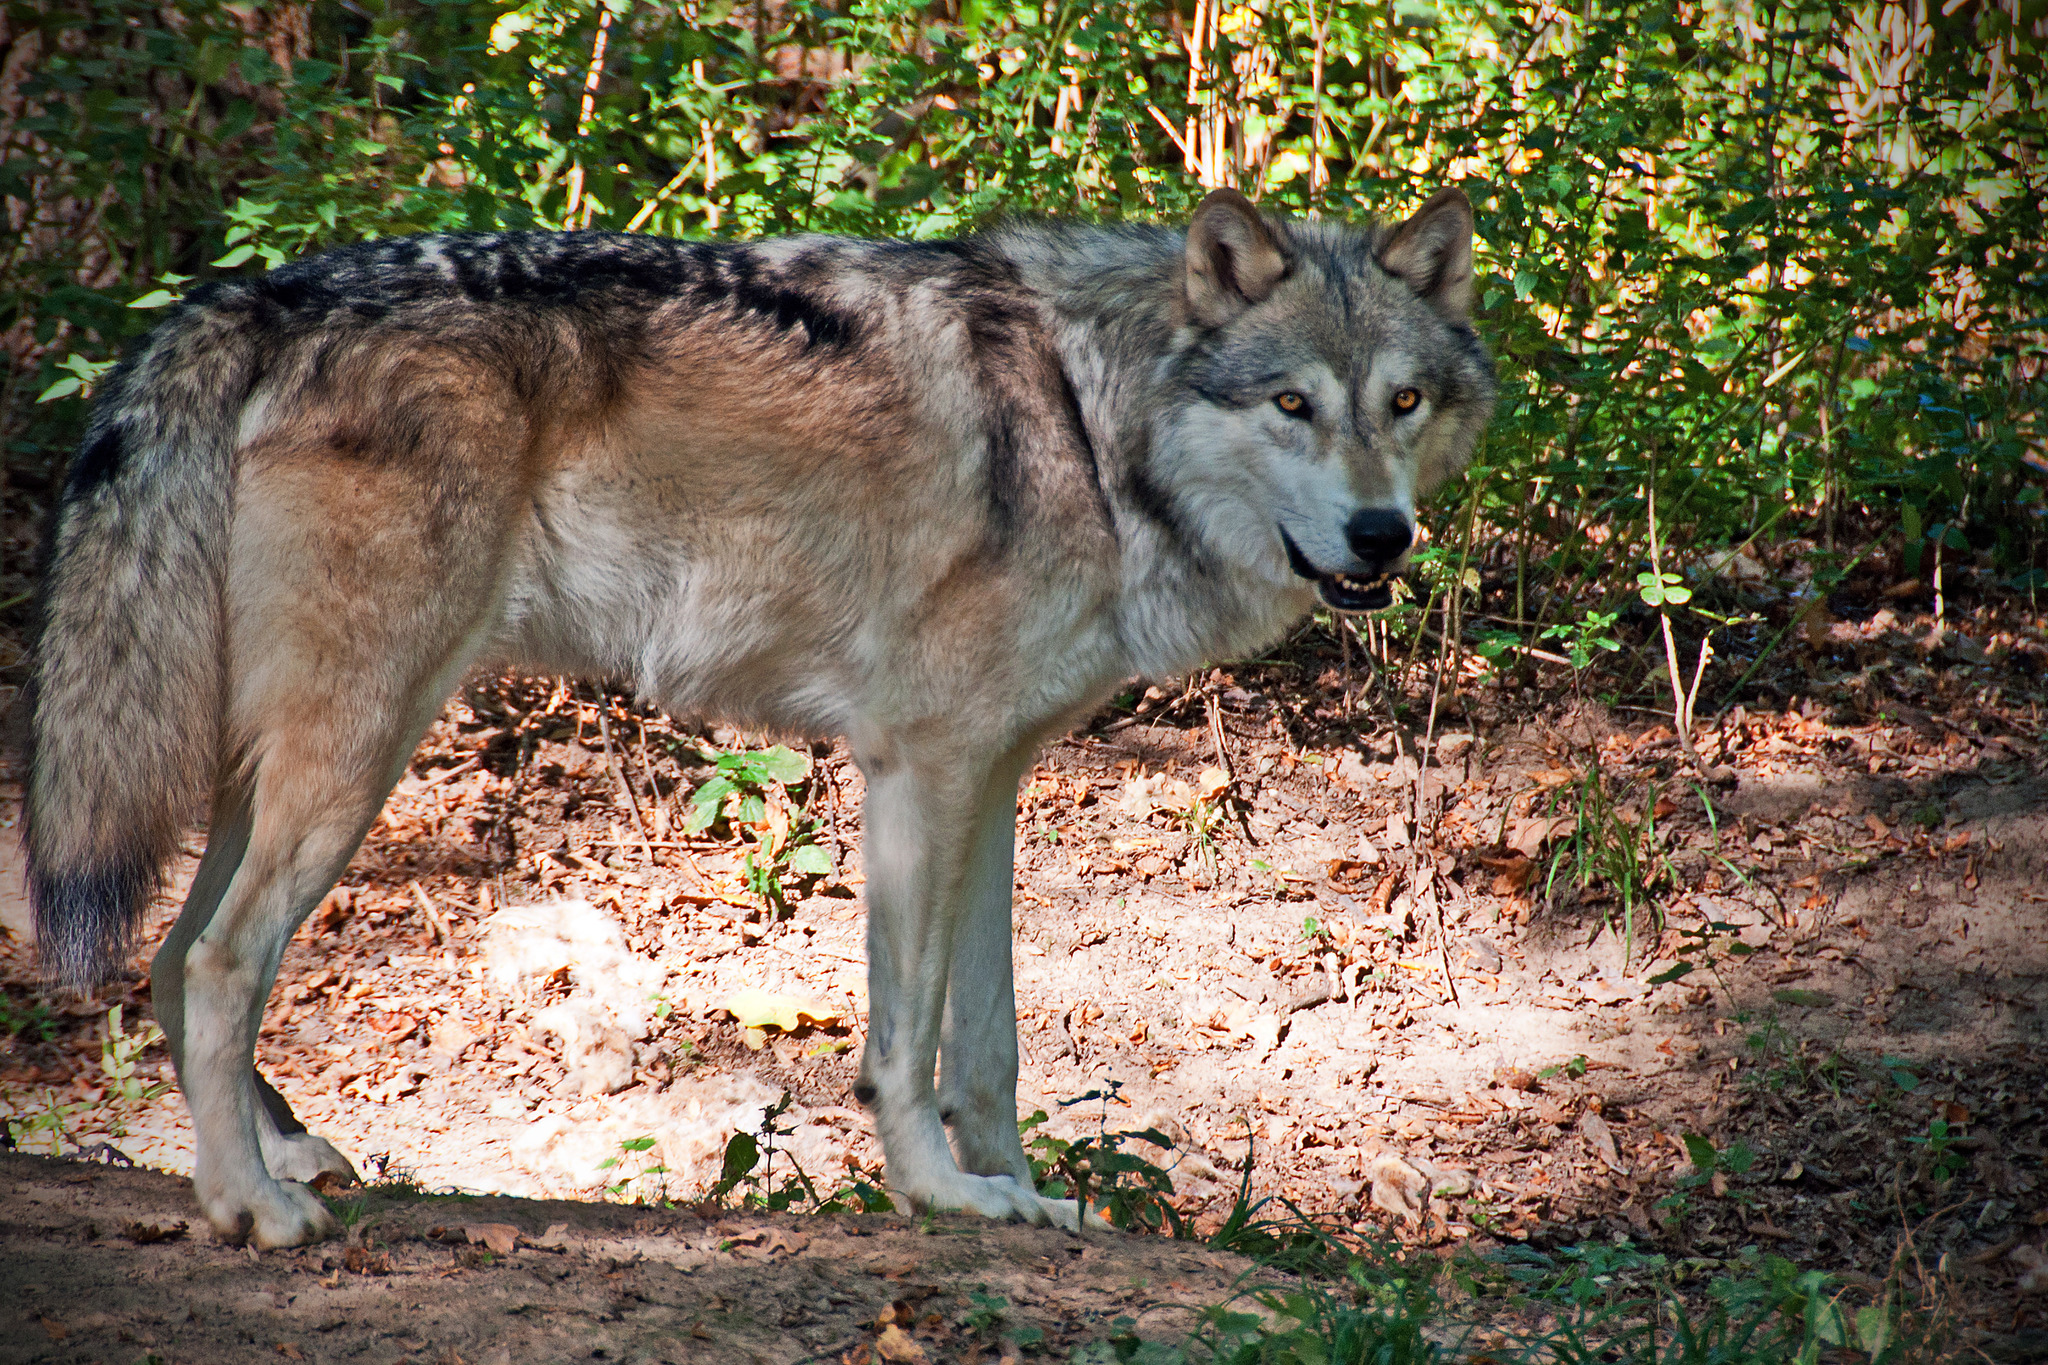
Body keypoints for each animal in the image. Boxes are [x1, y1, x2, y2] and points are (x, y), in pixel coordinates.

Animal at [25, 187, 1493, 1246]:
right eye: (1292, 404)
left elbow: (992, 1042)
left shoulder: (992, 779)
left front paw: (1021, 1196)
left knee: (174, 956)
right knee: (221, 962)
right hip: (359, 751)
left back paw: (272, 1162)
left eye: (1400, 401)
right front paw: (939, 1198)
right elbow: (904, 1036)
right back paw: (252, 1209)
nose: (1382, 535)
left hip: (288, 765)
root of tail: (256, 292)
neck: (1091, 421)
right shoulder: (919, 768)